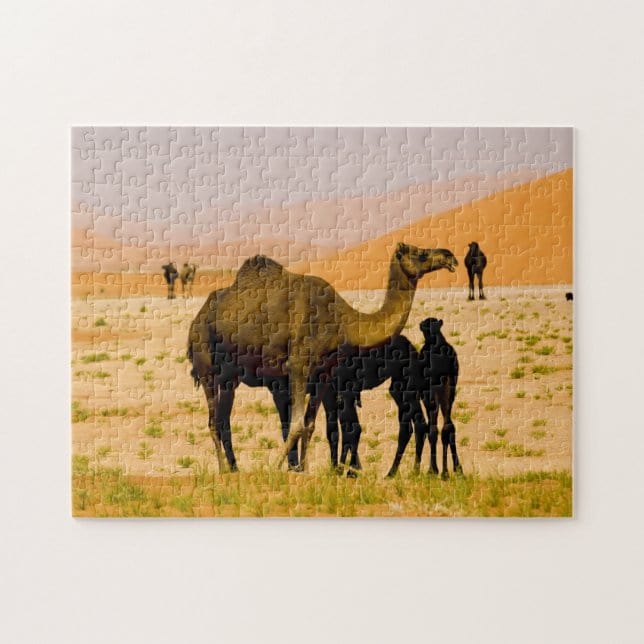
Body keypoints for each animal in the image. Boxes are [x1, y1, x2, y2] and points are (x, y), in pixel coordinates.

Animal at [386, 317, 461, 478]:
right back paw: (454, 470)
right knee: (448, 426)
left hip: (431, 393)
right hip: (449, 390)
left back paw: (433, 470)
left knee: (432, 428)